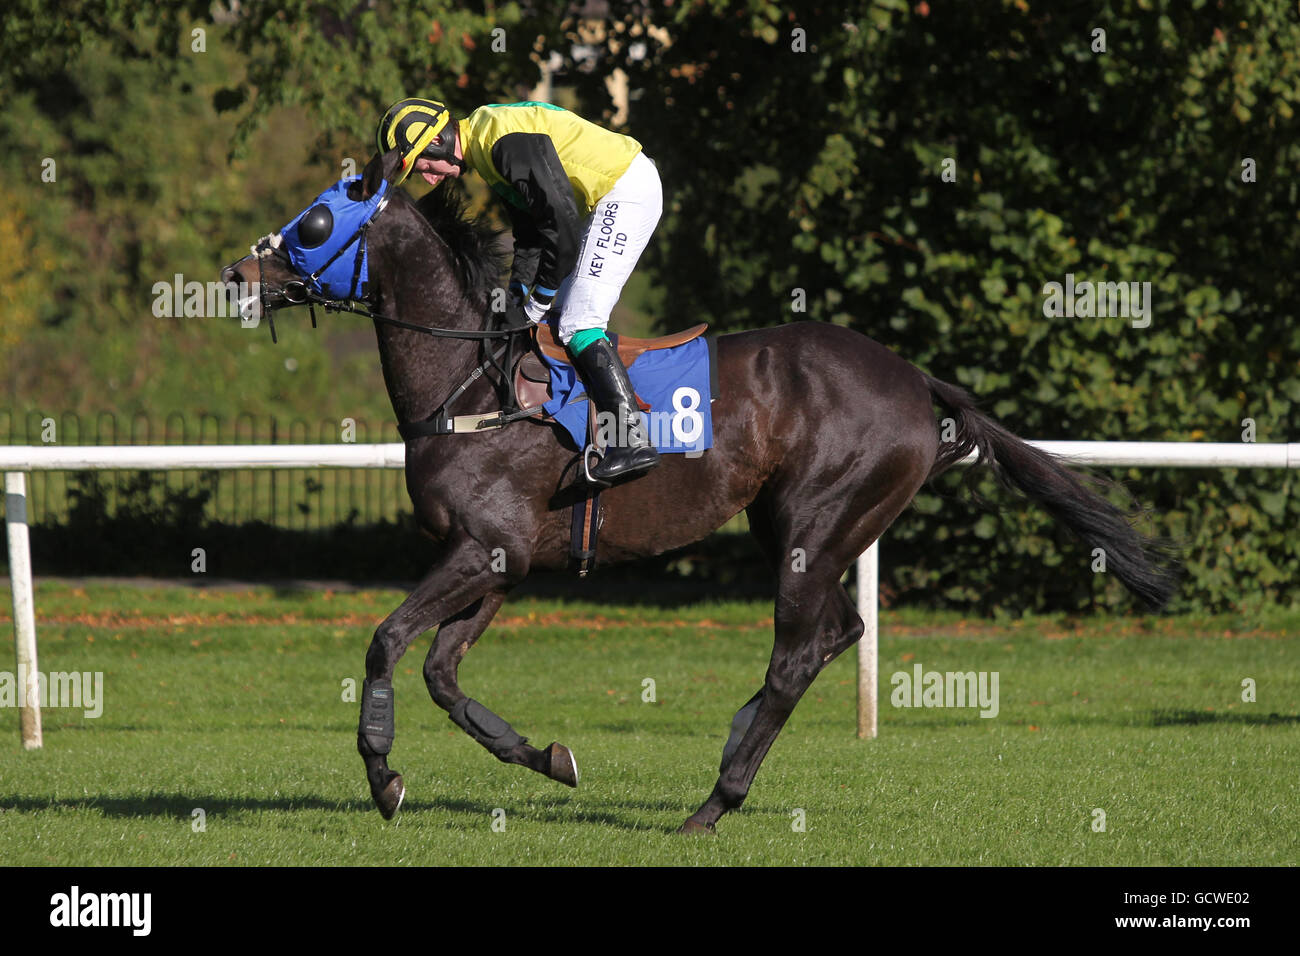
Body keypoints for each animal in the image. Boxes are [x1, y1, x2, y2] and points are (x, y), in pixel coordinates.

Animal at [221, 149, 1178, 834]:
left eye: (313, 221)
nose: (234, 275)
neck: (471, 384)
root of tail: (916, 381)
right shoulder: (500, 561)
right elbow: (442, 674)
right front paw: (550, 756)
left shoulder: (486, 547)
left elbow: (385, 643)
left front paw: (383, 777)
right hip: (791, 524)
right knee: (838, 632)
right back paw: (732, 748)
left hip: (818, 521)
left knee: (796, 654)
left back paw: (715, 802)